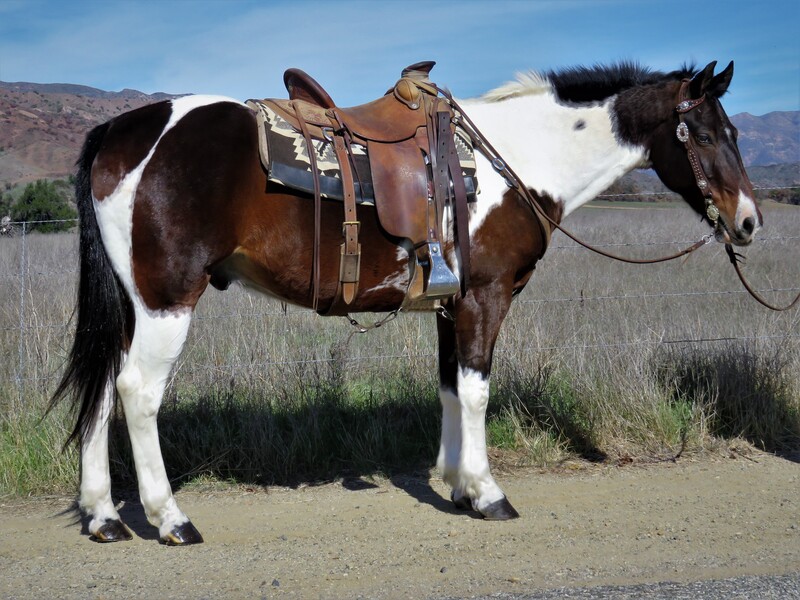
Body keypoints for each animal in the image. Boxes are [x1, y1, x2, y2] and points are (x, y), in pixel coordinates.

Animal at [52, 60, 760, 545]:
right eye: (702, 134)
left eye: (732, 130)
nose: (749, 221)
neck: (518, 160)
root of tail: (123, 128)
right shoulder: (485, 298)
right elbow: (475, 391)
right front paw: (488, 492)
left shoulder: (452, 306)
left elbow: (449, 388)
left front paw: (456, 484)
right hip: (167, 300)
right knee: (138, 392)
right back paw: (170, 518)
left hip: (132, 303)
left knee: (105, 385)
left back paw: (104, 515)